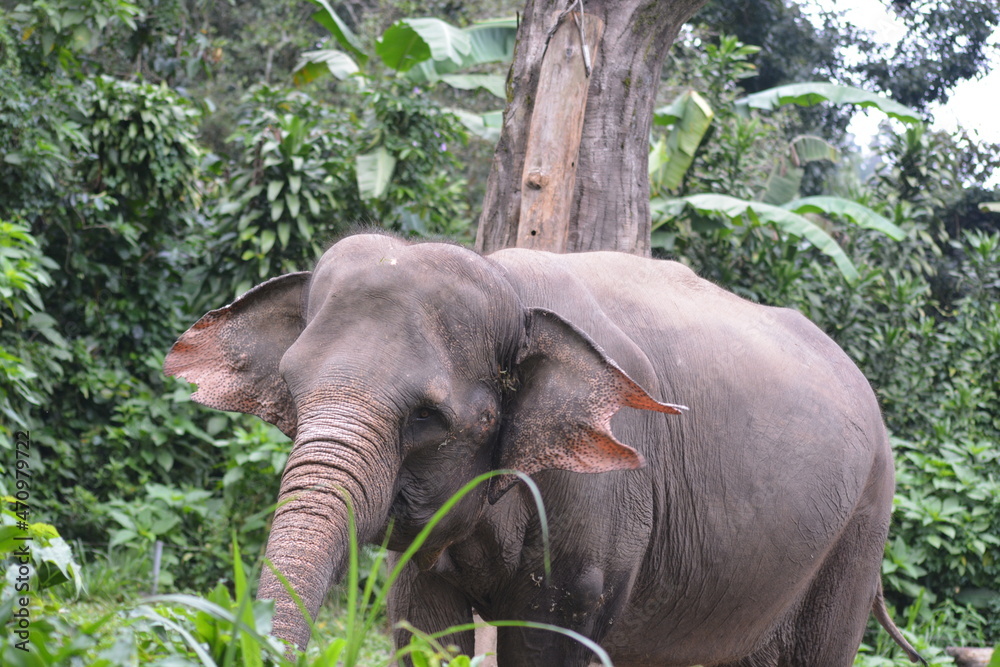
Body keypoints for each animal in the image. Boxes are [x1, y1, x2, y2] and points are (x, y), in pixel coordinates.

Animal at [164, 233, 924, 666]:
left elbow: (549, 634)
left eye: (428, 417)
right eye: (292, 393)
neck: (507, 282)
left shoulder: (605, 492)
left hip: (861, 528)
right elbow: (422, 627)